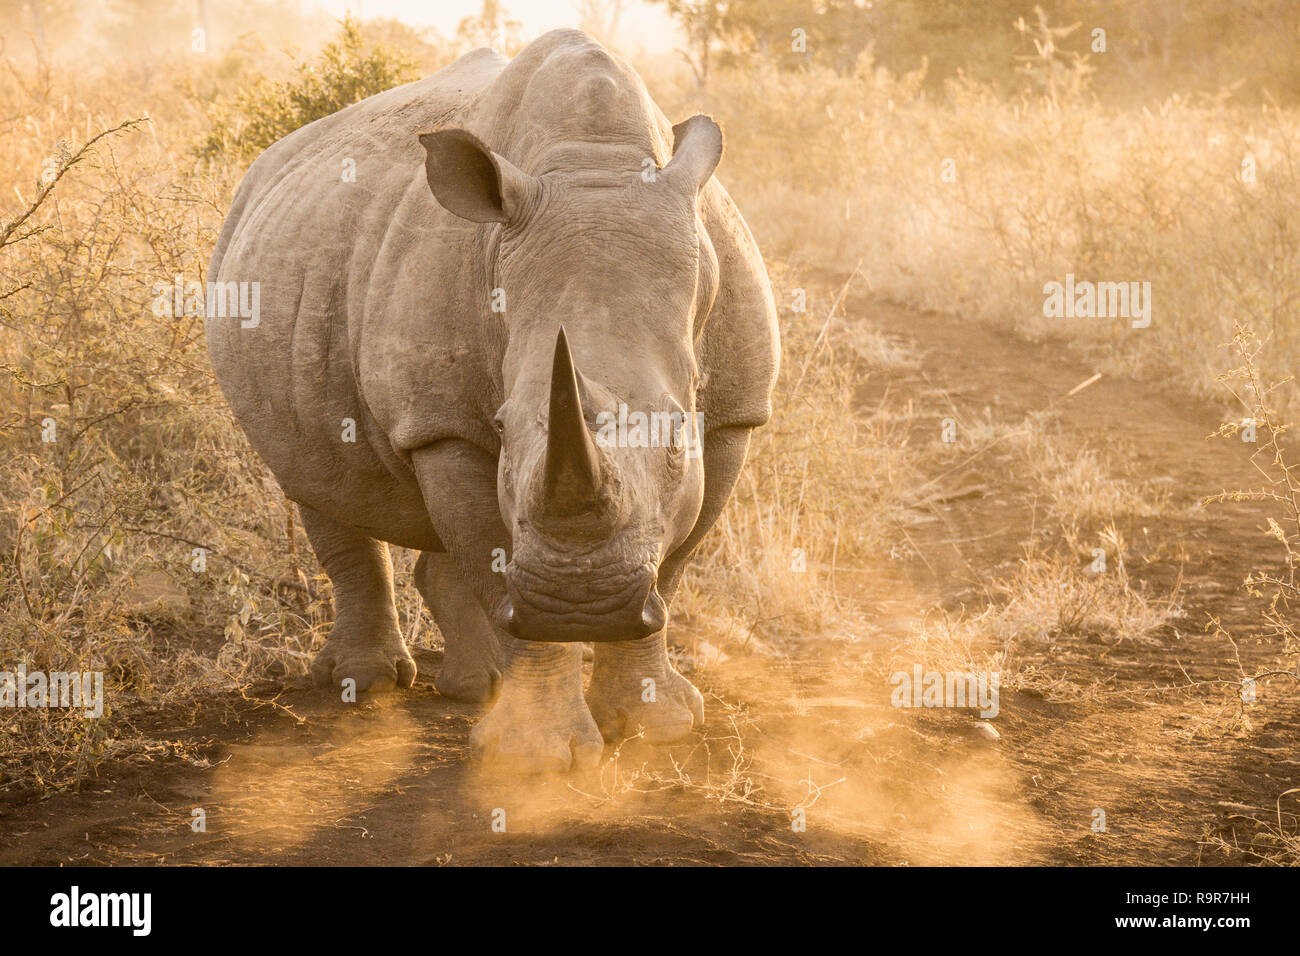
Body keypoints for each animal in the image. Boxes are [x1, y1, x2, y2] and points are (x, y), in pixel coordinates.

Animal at [207, 29, 779, 772]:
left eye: (680, 438)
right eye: (506, 431)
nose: (580, 605)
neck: (594, 164)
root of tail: (262, 170)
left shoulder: (736, 414)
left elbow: (677, 560)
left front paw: (660, 726)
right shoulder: (444, 425)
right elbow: (490, 555)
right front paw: (536, 760)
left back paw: (474, 689)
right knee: (317, 484)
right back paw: (367, 684)